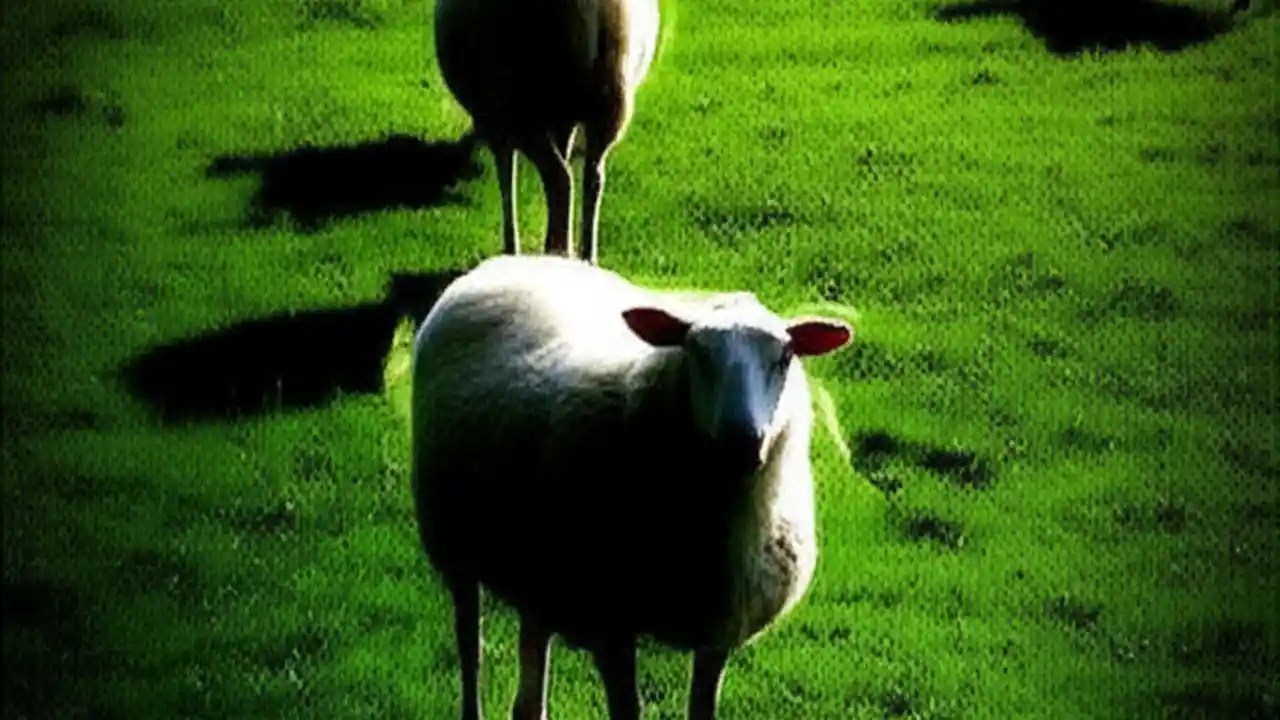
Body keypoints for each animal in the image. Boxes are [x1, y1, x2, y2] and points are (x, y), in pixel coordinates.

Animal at [409, 254, 854, 719]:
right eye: (695, 351)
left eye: (785, 356)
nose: (741, 442)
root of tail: (515, 260)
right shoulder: (610, 626)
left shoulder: (717, 630)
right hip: (454, 550)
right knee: (470, 651)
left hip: (537, 572)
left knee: (529, 690)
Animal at [432, 0, 662, 265]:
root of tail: (597, 8)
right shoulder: (562, 119)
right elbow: (562, 151)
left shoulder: (494, 121)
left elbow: (505, 177)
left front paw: (511, 247)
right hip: (610, 101)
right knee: (593, 178)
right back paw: (586, 257)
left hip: (524, 109)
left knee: (560, 179)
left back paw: (558, 251)